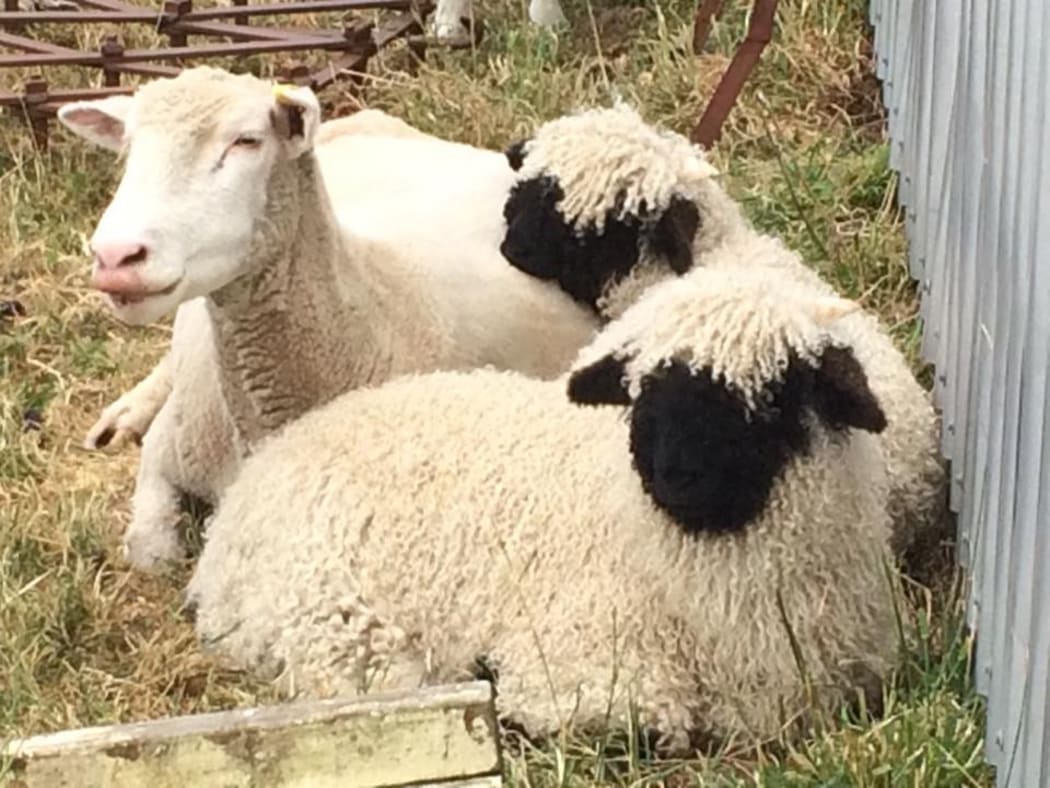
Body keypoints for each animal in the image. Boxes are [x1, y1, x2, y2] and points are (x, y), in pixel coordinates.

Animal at [59, 66, 602, 570]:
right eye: (129, 147)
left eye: (246, 141)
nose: (115, 256)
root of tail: (372, 117)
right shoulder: (168, 448)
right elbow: (150, 553)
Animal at [186, 263, 903, 751]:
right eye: (643, 393)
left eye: (775, 396)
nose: (675, 473)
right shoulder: (578, 666)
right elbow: (645, 719)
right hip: (339, 625)